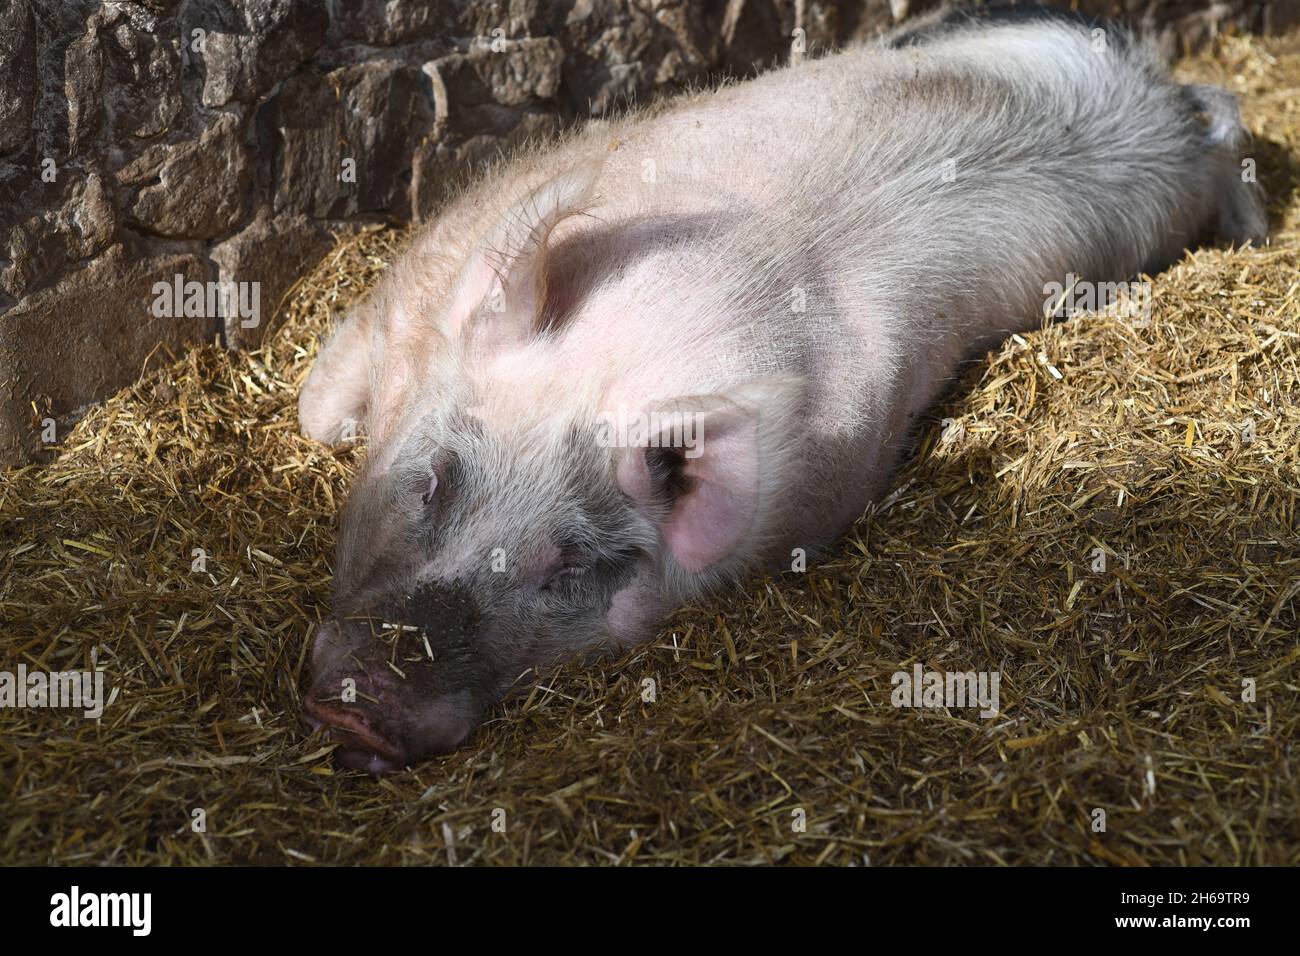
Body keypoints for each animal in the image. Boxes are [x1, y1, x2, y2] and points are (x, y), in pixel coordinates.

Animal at [298, 8, 1265, 773]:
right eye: (434, 479)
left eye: (574, 566)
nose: (364, 702)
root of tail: (1155, 96)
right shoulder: (430, 260)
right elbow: (316, 410)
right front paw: (332, 417)